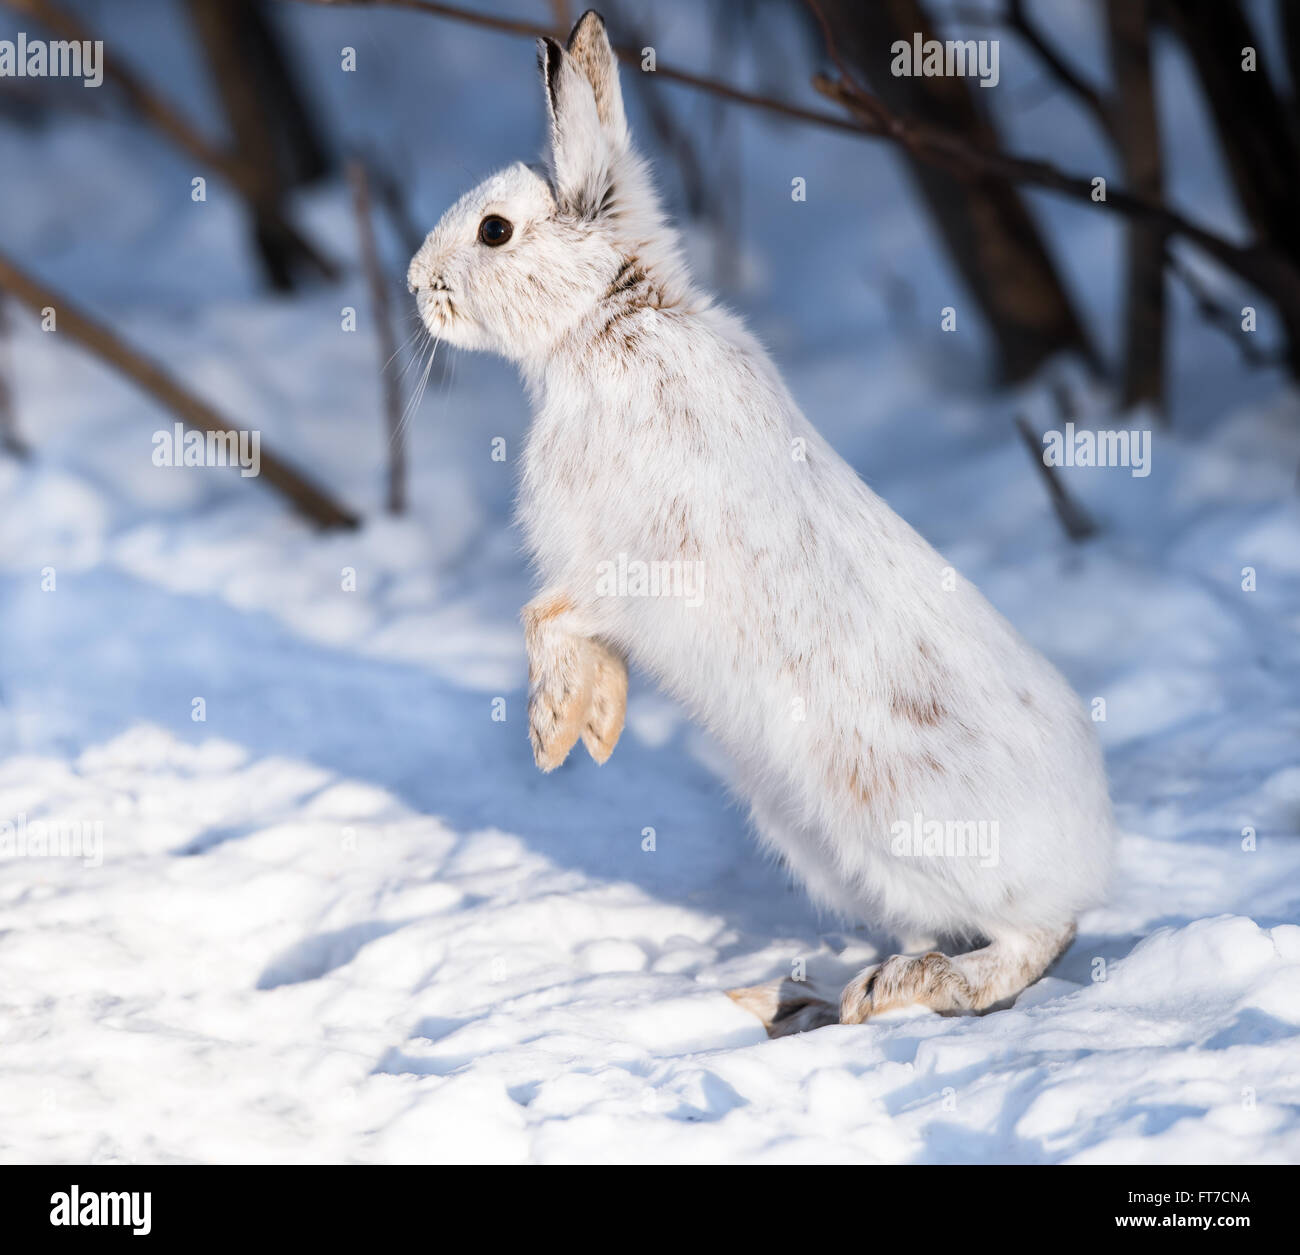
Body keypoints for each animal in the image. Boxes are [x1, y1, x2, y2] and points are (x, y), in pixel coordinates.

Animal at [407, 10, 1115, 1033]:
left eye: (494, 231)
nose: (415, 282)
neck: (607, 322)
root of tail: (1092, 853)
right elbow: (572, 634)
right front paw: (600, 726)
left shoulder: (628, 569)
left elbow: (544, 617)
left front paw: (553, 731)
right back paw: (810, 993)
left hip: (907, 826)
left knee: (1034, 938)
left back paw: (901, 989)